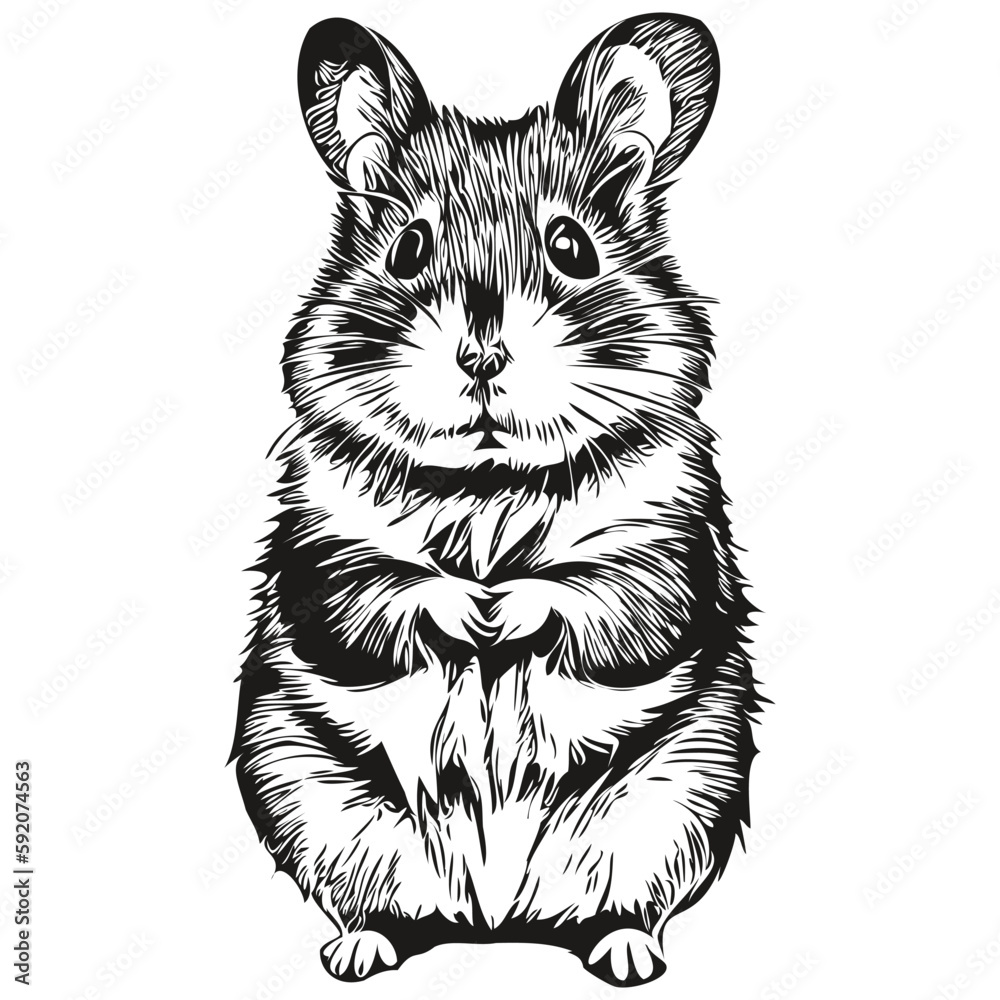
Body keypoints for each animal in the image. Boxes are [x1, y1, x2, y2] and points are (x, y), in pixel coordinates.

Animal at [231, 13, 761, 988]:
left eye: (572, 248)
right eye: (408, 248)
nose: (480, 357)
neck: (489, 486)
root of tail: (493, 917)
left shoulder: (658, 553)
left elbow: (584, 596)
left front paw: (497, 612)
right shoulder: (326, 553)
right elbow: (389, 595)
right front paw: (468, 612)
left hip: (680, 805)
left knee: (629, 905)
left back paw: (628, 957)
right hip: (311, 801)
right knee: (374, 905)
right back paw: (356, 952)